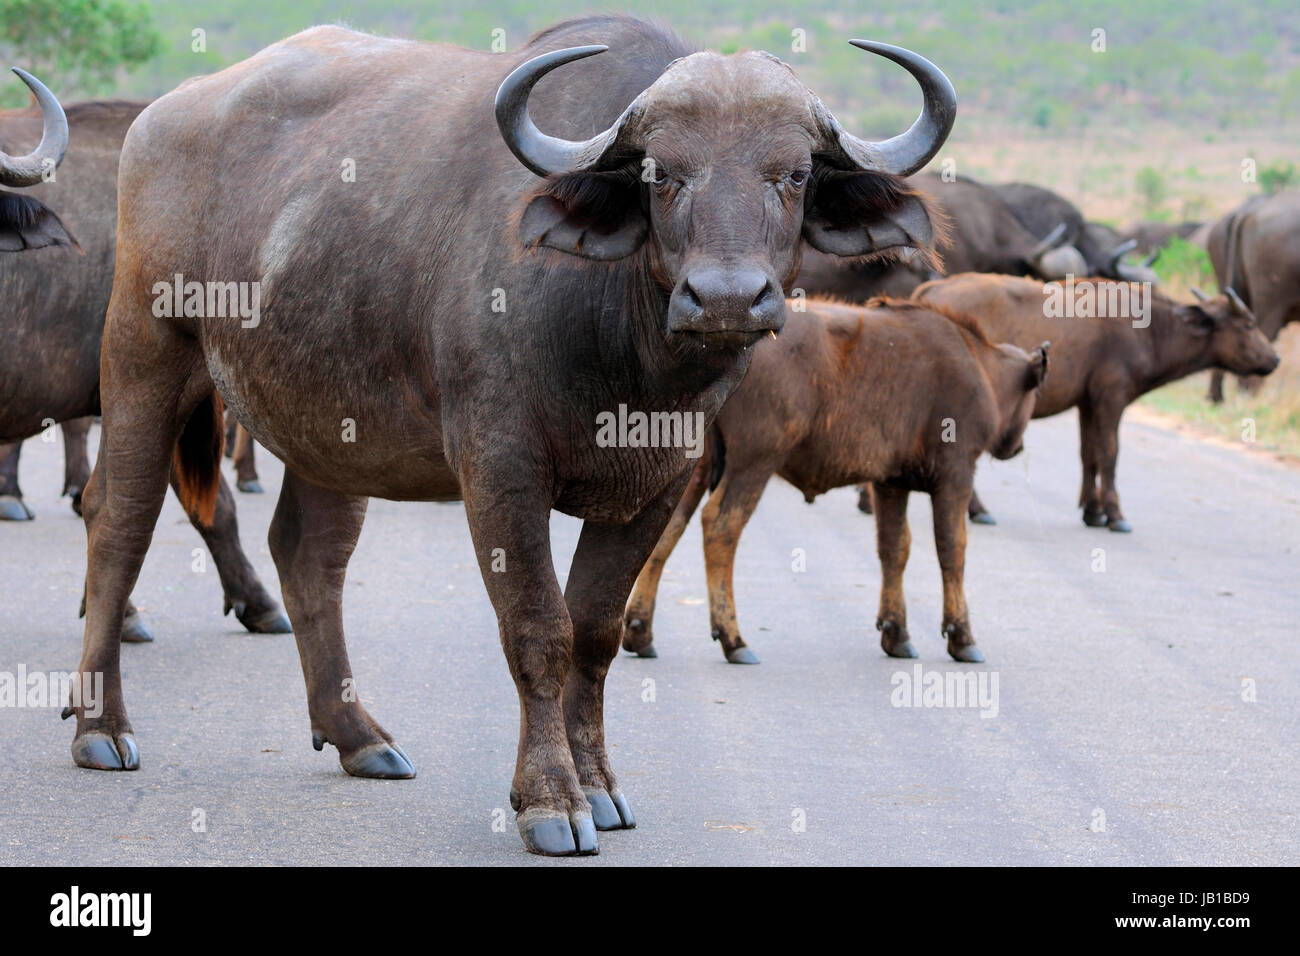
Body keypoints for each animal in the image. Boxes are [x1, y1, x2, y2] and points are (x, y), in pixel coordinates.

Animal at [70, 16, 956, 857]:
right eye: (660, 174)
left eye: (795, 174)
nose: (728, 298)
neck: (626, 352)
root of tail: (159, 119)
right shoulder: (501, 470)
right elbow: (539, 631)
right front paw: (552, 803)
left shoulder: (662, 480)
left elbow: (595, 633)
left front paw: (599, 786)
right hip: (145, 351)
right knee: (119, 521)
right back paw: (101, 729)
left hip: (329, 422)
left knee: (307, 553)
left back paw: (360, 738)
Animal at [620, 299, 1047, 666]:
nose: (1018, 444)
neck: (976, 361)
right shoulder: (955, 478)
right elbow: (951, 551)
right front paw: (962, 637)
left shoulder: (890, 485)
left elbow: (894, 549)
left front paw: (896, 634)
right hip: (752, 465)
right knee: (720, 528)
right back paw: (733, 639)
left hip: (693, 470)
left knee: (666, 531)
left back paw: (640, 632)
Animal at [915, 273, 1279, 531]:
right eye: (1249, 325)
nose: (1274, 359)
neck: (1147, 330)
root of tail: (932, 290)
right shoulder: (1110, 400)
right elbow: (1110, 454)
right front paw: (1115, 514)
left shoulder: (1088, 404)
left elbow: (1088, 455)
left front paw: (1093, 511)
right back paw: (977, 509)